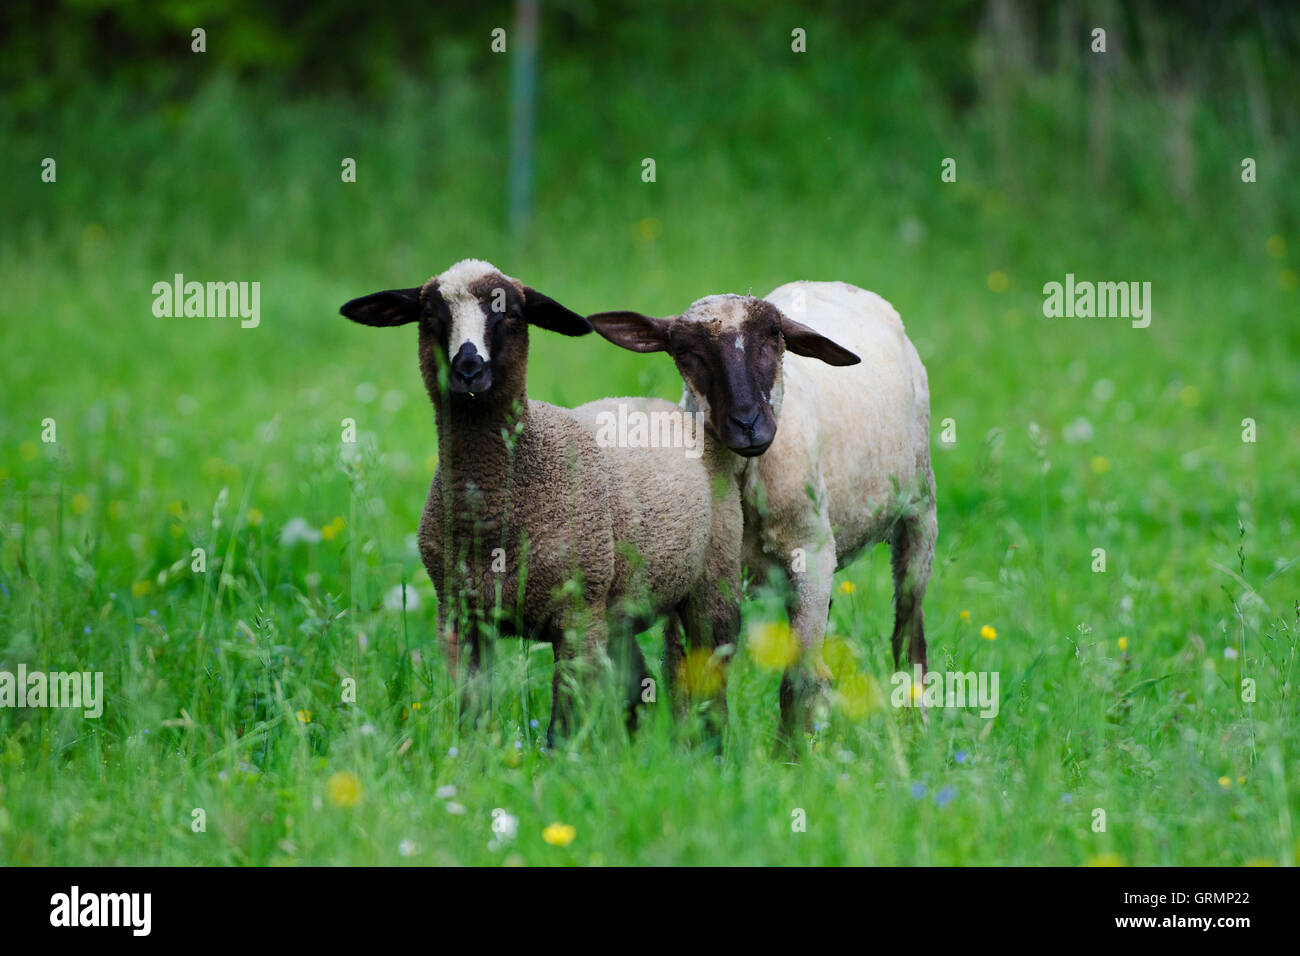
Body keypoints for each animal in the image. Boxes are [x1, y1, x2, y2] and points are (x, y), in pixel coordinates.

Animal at [339, 259, 741, 745]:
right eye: (430, 314)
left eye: (512, 313)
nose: (468, 369)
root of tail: (671, 409)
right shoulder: (458, 615)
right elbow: (472, 714)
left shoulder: (576, 614)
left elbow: (562, 724)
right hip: (618, 608)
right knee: (637, 685)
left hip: (712, 577)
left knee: (709, 681)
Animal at [589, 280, 936, 735]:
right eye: (684, 351)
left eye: (774, 338)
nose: (748, 423)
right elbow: (684, 674)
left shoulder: (812, 554)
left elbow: (797, 682)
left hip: (919, 508)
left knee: (908, 631)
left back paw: (917, 726)